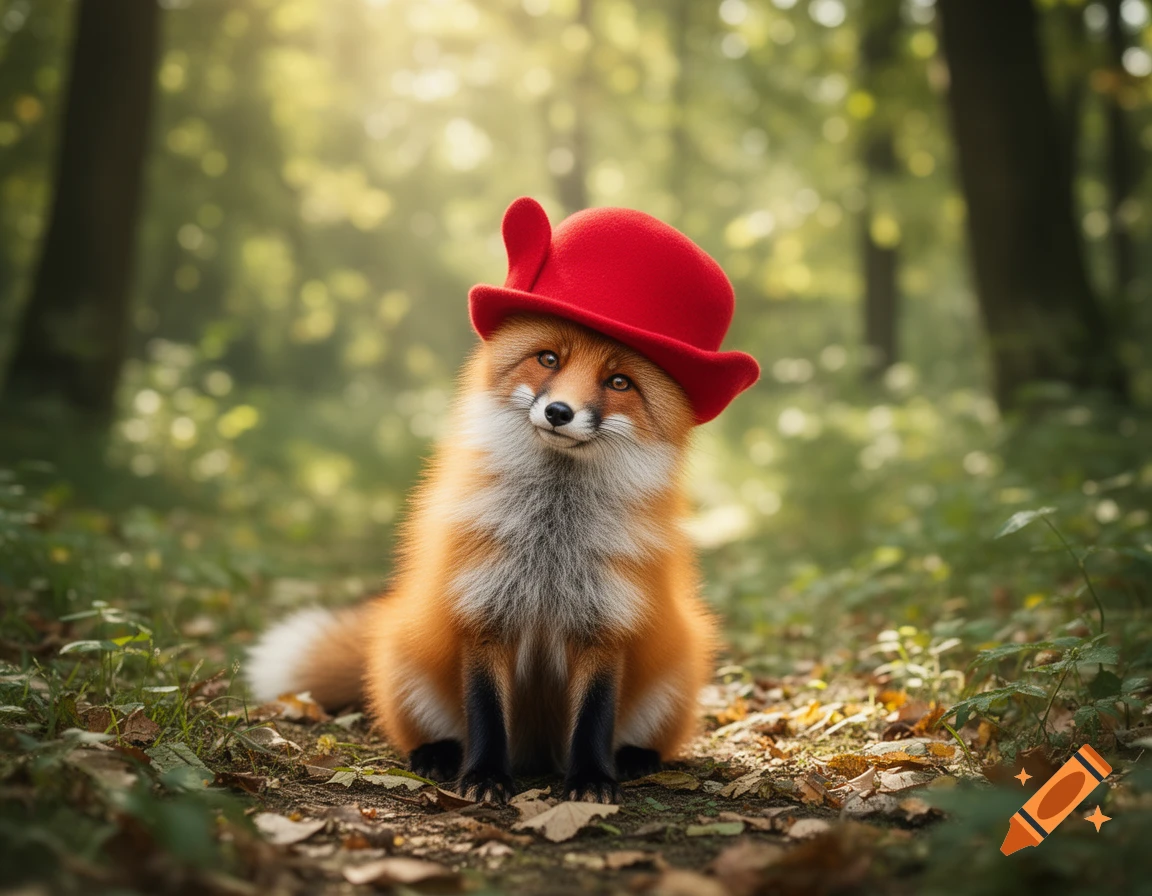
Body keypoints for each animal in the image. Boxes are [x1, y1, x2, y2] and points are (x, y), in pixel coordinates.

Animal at [246, 313, 717, 803]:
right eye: (548, 359)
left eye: (619, 381)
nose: (559, 412)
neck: (552, 542)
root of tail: (537, 754)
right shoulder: (482, 615)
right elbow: (486, 713)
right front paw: (485, 777)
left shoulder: (606, 627)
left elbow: (594, 718)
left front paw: (591, 779)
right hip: (405, 669)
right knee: (439, 733)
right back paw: (437, 754)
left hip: (675, 681)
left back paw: (633, 758)